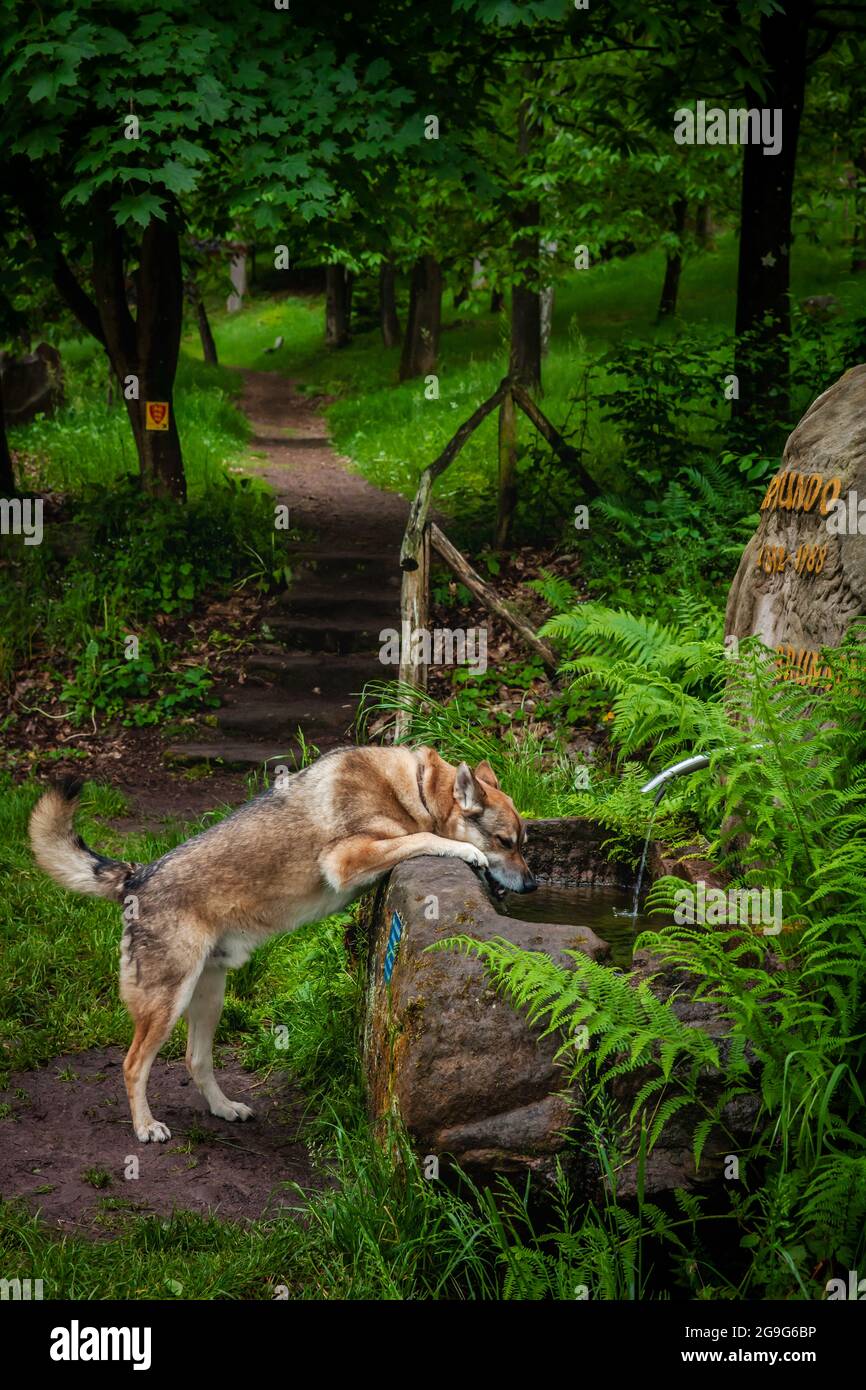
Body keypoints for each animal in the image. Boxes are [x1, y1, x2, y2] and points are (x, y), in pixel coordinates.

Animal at [29, 746, 535, 1142]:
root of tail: (134, 877)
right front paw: (466, 851)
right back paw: (145, 1127)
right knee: (133, 1065)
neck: (417, 789)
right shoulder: (346, 858)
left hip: (207, 997)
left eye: (523, 842)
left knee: (196, 1061)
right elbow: (425, 837)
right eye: (505, 841)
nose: (532, 886)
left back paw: (225, 1109)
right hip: (167, 1004)